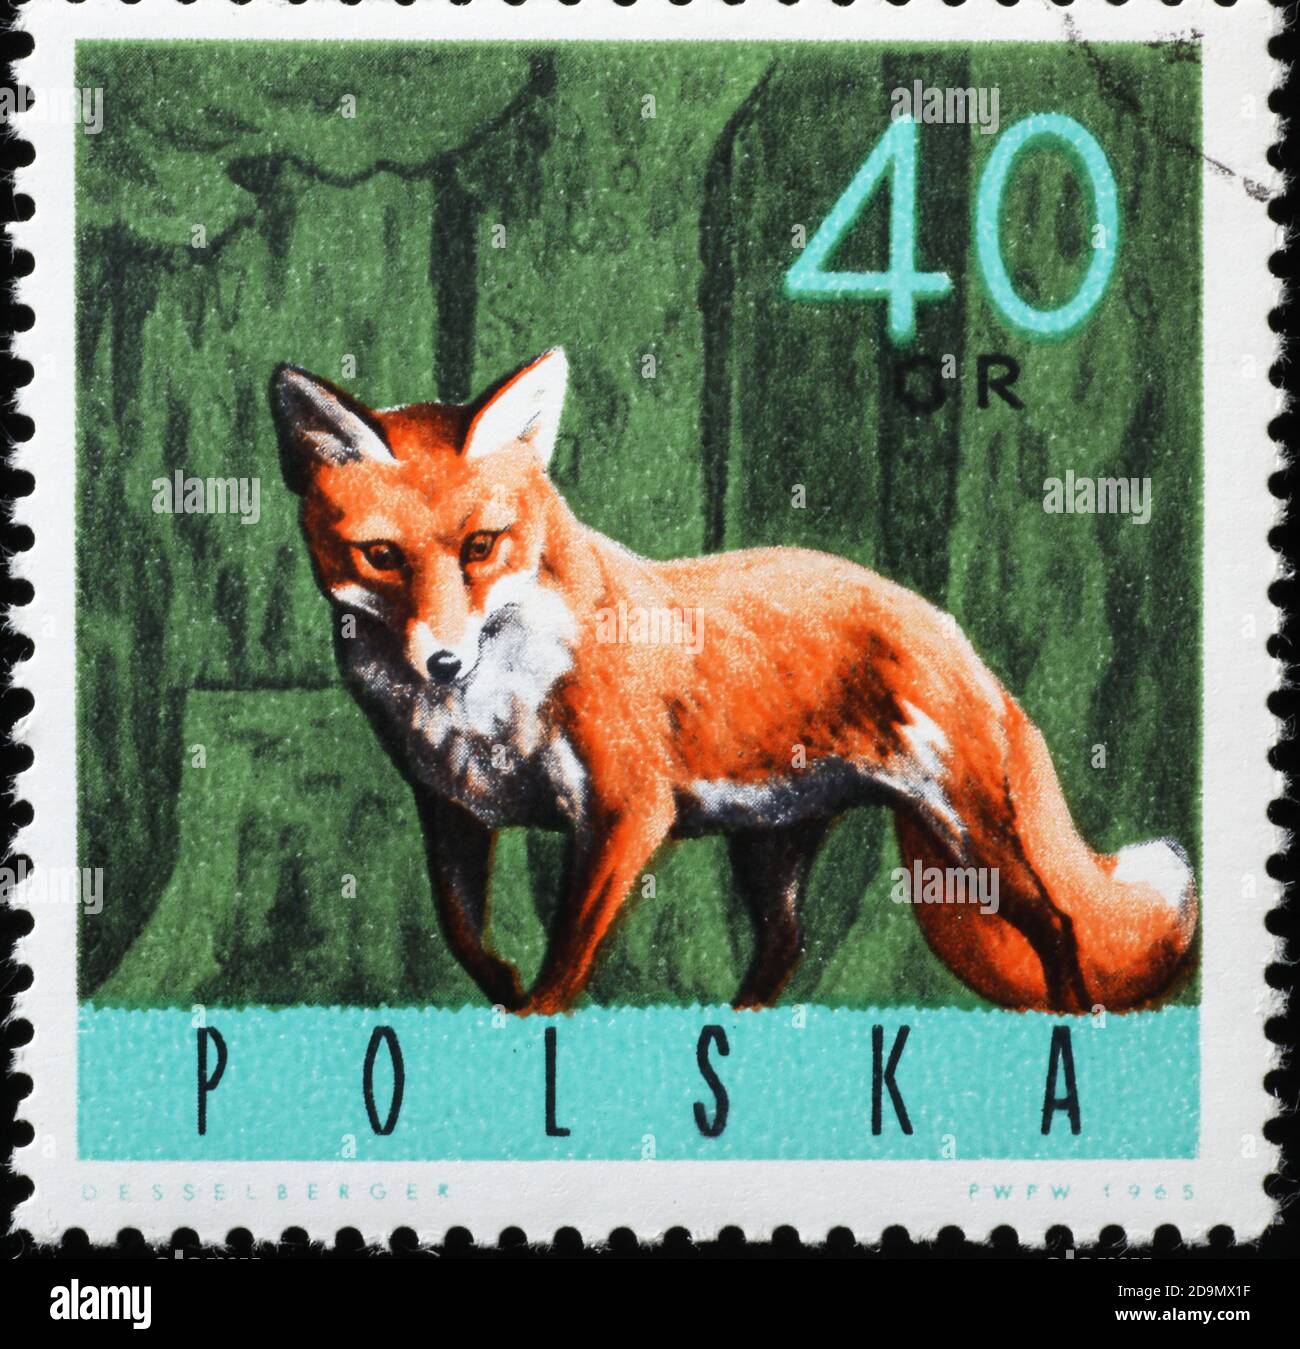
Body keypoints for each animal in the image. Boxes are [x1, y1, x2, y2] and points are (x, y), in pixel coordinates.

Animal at [269, 348, 1197, 1016]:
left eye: (480, 546)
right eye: (381, 556)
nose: (443, 661)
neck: (486, 711)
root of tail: (940, 619)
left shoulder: (625, 810)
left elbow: (565, 958)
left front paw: (531, 1020)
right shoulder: (454, 813)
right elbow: (463, 933)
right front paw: (497, 994)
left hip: (968, 834)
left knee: (1056, 920)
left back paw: (1075, 1021)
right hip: (773, 843)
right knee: (786, 944)